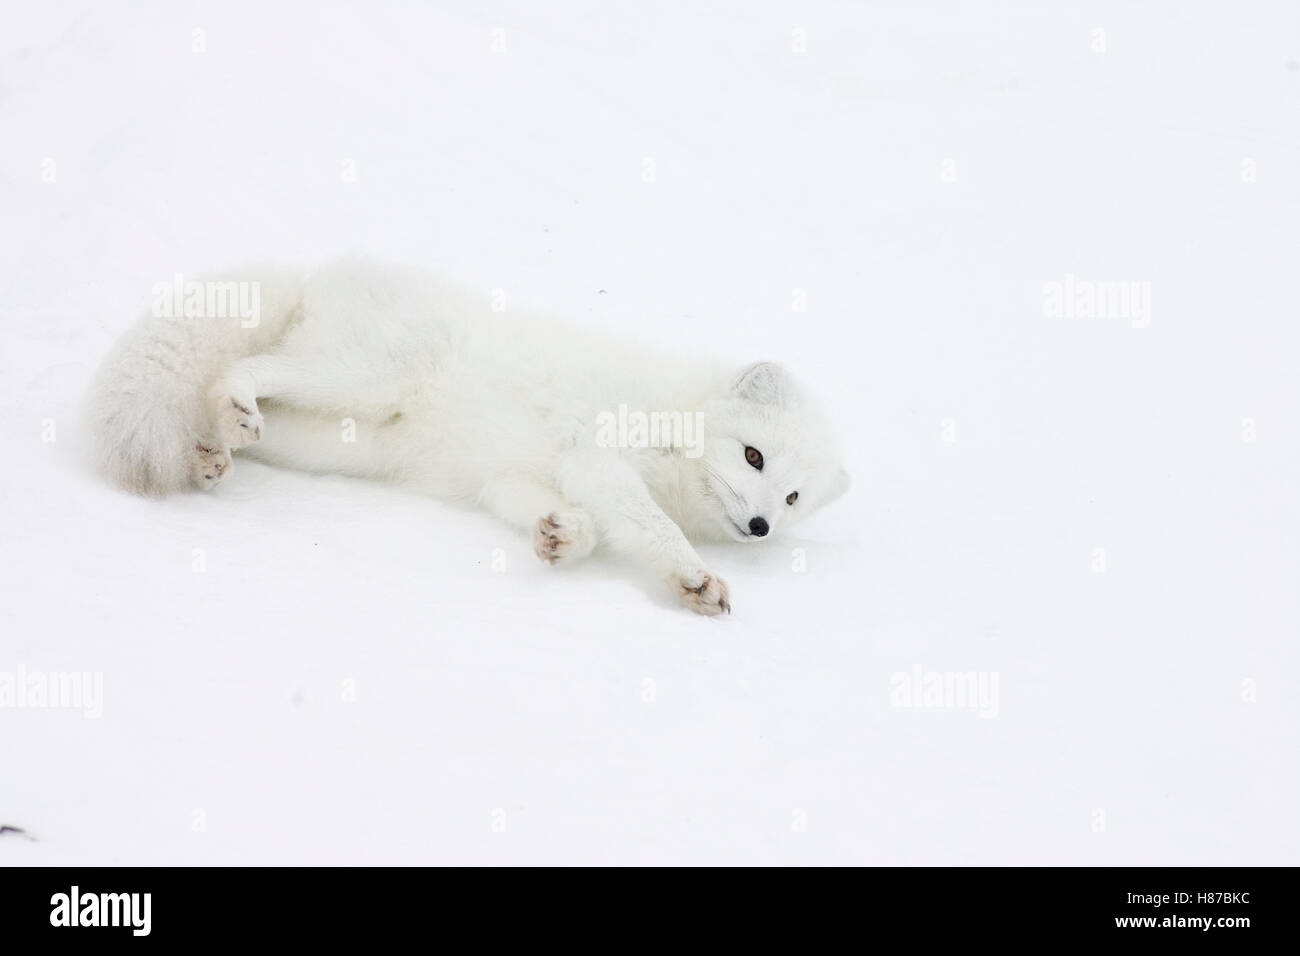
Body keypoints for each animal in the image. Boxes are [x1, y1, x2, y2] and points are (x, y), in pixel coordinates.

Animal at [84, 258, 849, 615]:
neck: (676, 421)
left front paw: (560, 538)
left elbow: (564, 518)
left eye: (792, 498)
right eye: (752, 456)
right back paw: (233, 410)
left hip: (334, 438)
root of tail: (319, 275)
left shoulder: (513, 476)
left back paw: (211, 453)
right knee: (241, 367)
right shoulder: (597, 454)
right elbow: (647, 523)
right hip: (368, 376)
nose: (760, 527)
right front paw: (694, 577)